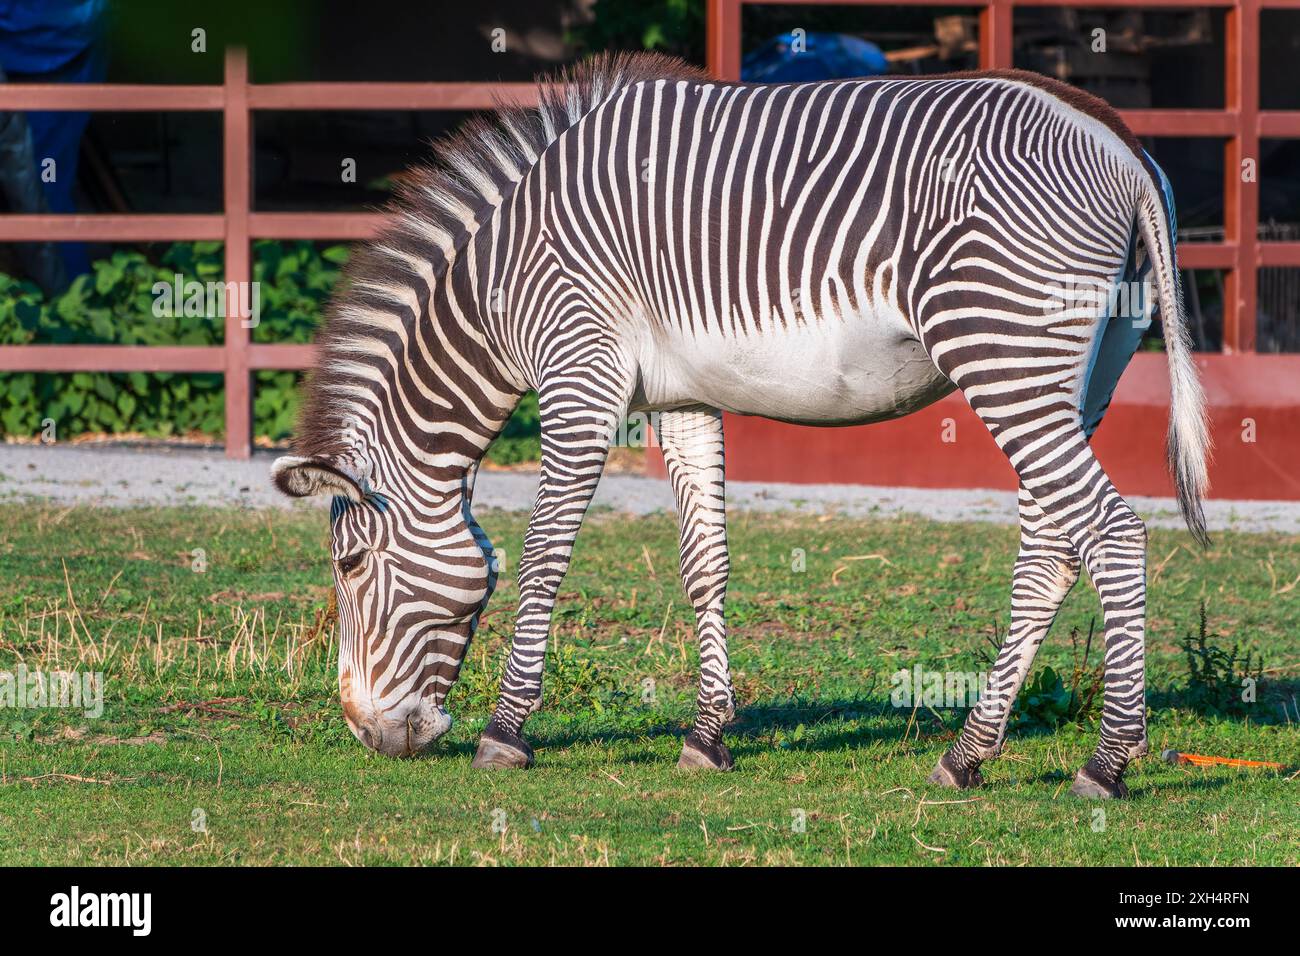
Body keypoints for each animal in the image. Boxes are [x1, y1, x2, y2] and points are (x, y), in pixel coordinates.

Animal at [271, 52, 1209, 799]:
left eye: (350, 565)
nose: (368, 736)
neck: (502, 281)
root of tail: (1120, 142)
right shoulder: (683, 396)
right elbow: (705, 565)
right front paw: (707, 734)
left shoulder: (579, 376)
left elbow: (542, 558)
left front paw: (506, 733)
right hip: (1082, 367)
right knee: (1052, 550)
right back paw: (967, 754)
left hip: (999, 348)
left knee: (1111, 533)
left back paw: (1105, 764)